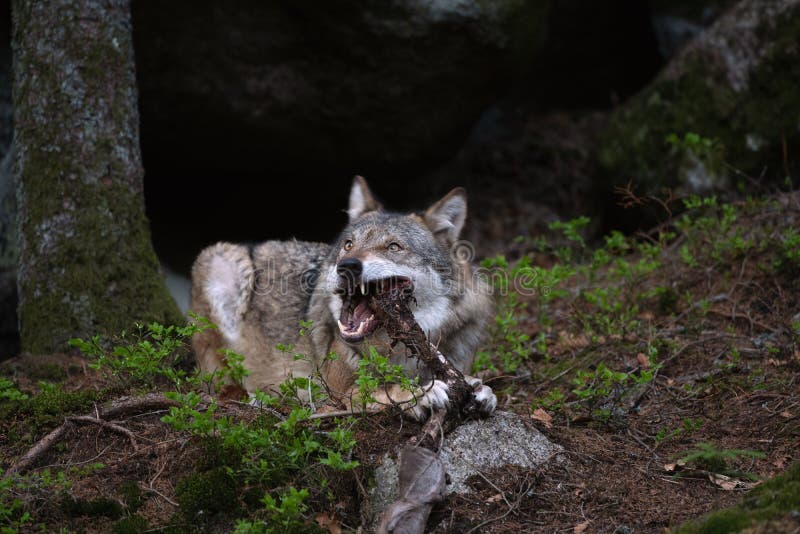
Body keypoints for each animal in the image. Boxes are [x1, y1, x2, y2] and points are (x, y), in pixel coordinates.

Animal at [189, 176, 496, 420]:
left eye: (394, 247)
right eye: (349, 244)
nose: (346, 265)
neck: (400, 355)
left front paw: (479, 389)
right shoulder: (335, 392)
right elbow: (376, 390)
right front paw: (418, 395)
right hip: (219, 260)